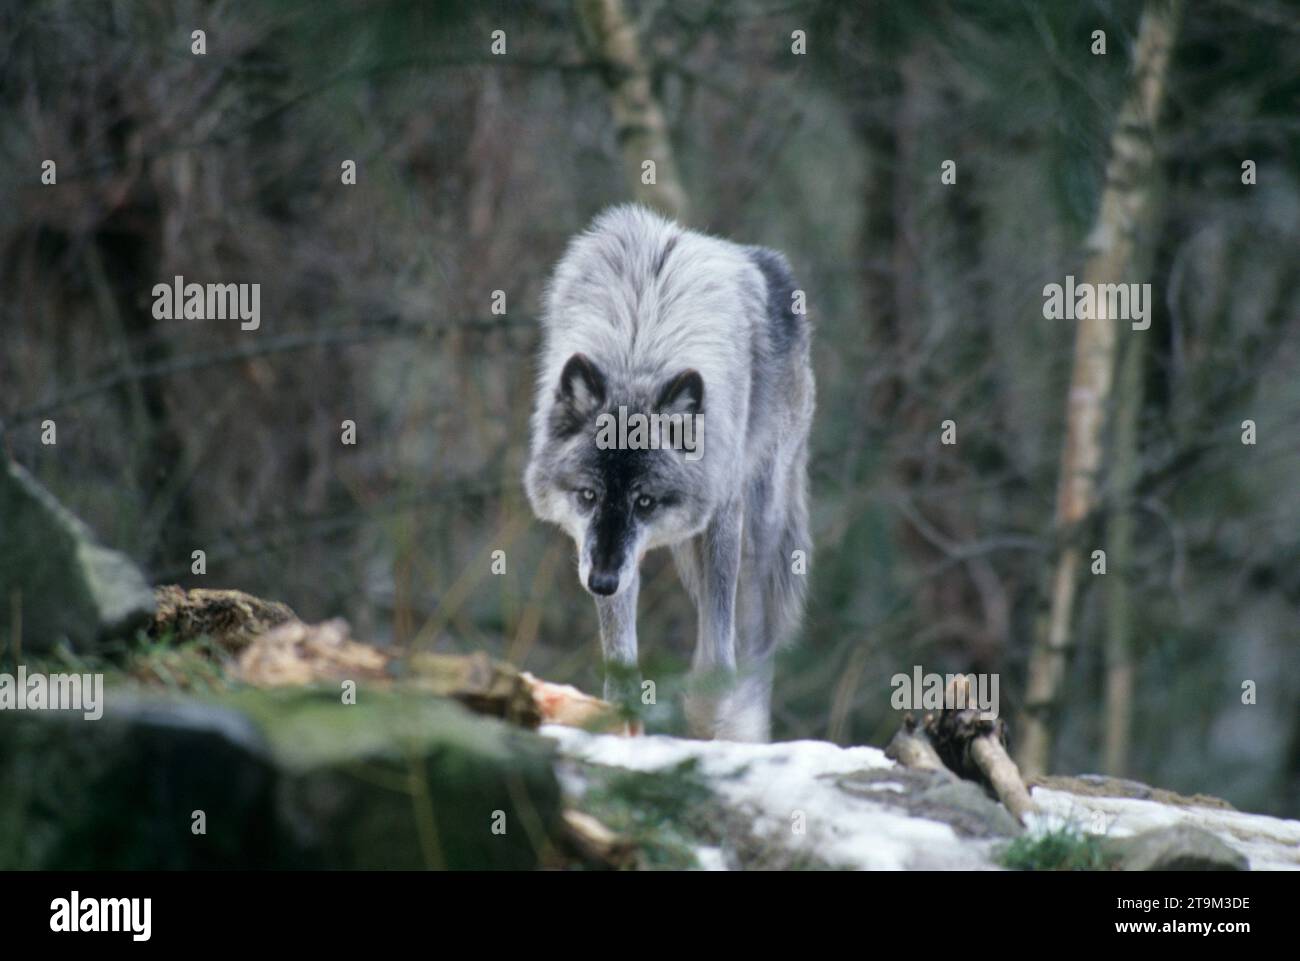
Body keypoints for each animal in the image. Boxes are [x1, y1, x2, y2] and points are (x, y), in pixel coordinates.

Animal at [524, 205, 814, 742]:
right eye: (588, 496)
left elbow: (719, 653)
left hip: (760, 527)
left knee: (756, 631)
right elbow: (620, 655)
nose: (601, 583)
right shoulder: (602, 555)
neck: (638, 348)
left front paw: (707, 717)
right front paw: (621, 724)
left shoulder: (722, 514)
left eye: (645, 501)